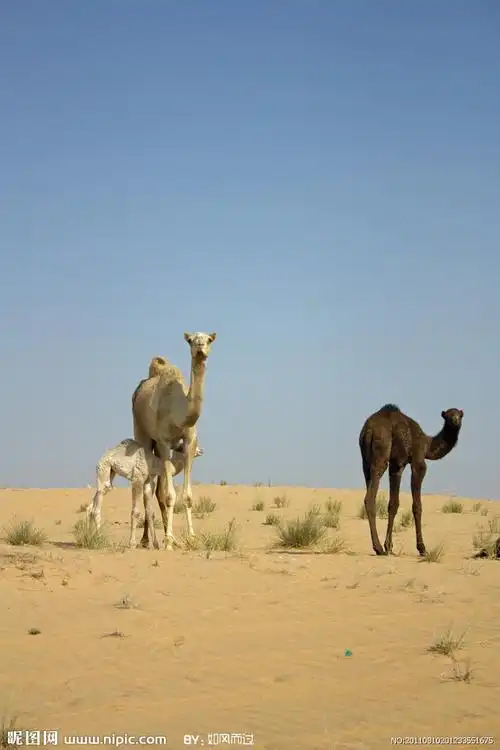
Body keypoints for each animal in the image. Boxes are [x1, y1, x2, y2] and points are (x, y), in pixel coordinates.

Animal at [132, 332, 216, 550]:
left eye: (209, 339)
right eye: (191, 340)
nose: (200, 347)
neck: (178, 412)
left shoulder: (189, 443)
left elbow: (187, 496)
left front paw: (191, 538)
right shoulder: (163, 442)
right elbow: (169, 495)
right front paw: (169, 540)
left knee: (153, 490)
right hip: (142, 435)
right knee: (147, 490)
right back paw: (147, 540)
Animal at [359, 404, 464, 557]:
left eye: (459, 415)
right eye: (449, 416)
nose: (456, 421)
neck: (427, 444)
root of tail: (369, 430)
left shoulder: (397, 465)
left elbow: (393, 504)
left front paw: (389, 546)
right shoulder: (418, 461)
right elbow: (417, 506)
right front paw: (422, 549)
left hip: (365, 460)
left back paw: (380, 547)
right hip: (381, 450)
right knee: (370, 497)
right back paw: (378, 548)